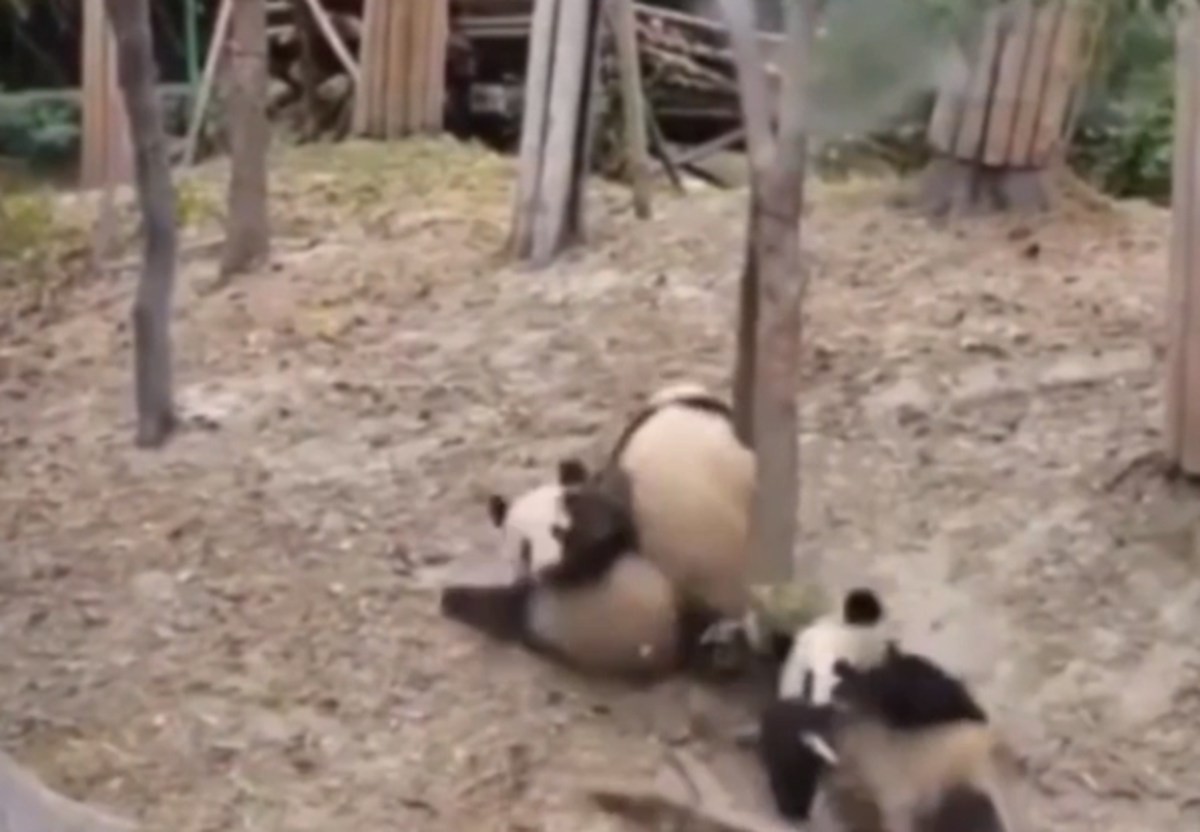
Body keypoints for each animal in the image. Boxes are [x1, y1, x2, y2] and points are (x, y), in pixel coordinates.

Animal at [439, 459, 720, 680]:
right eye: (525, 547)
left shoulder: (608, 544)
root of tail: (667, 662)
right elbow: (501, 609)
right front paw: (452, 598)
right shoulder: (534, 601)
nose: (549, 567)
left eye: (557, 531)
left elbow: (603, 517)